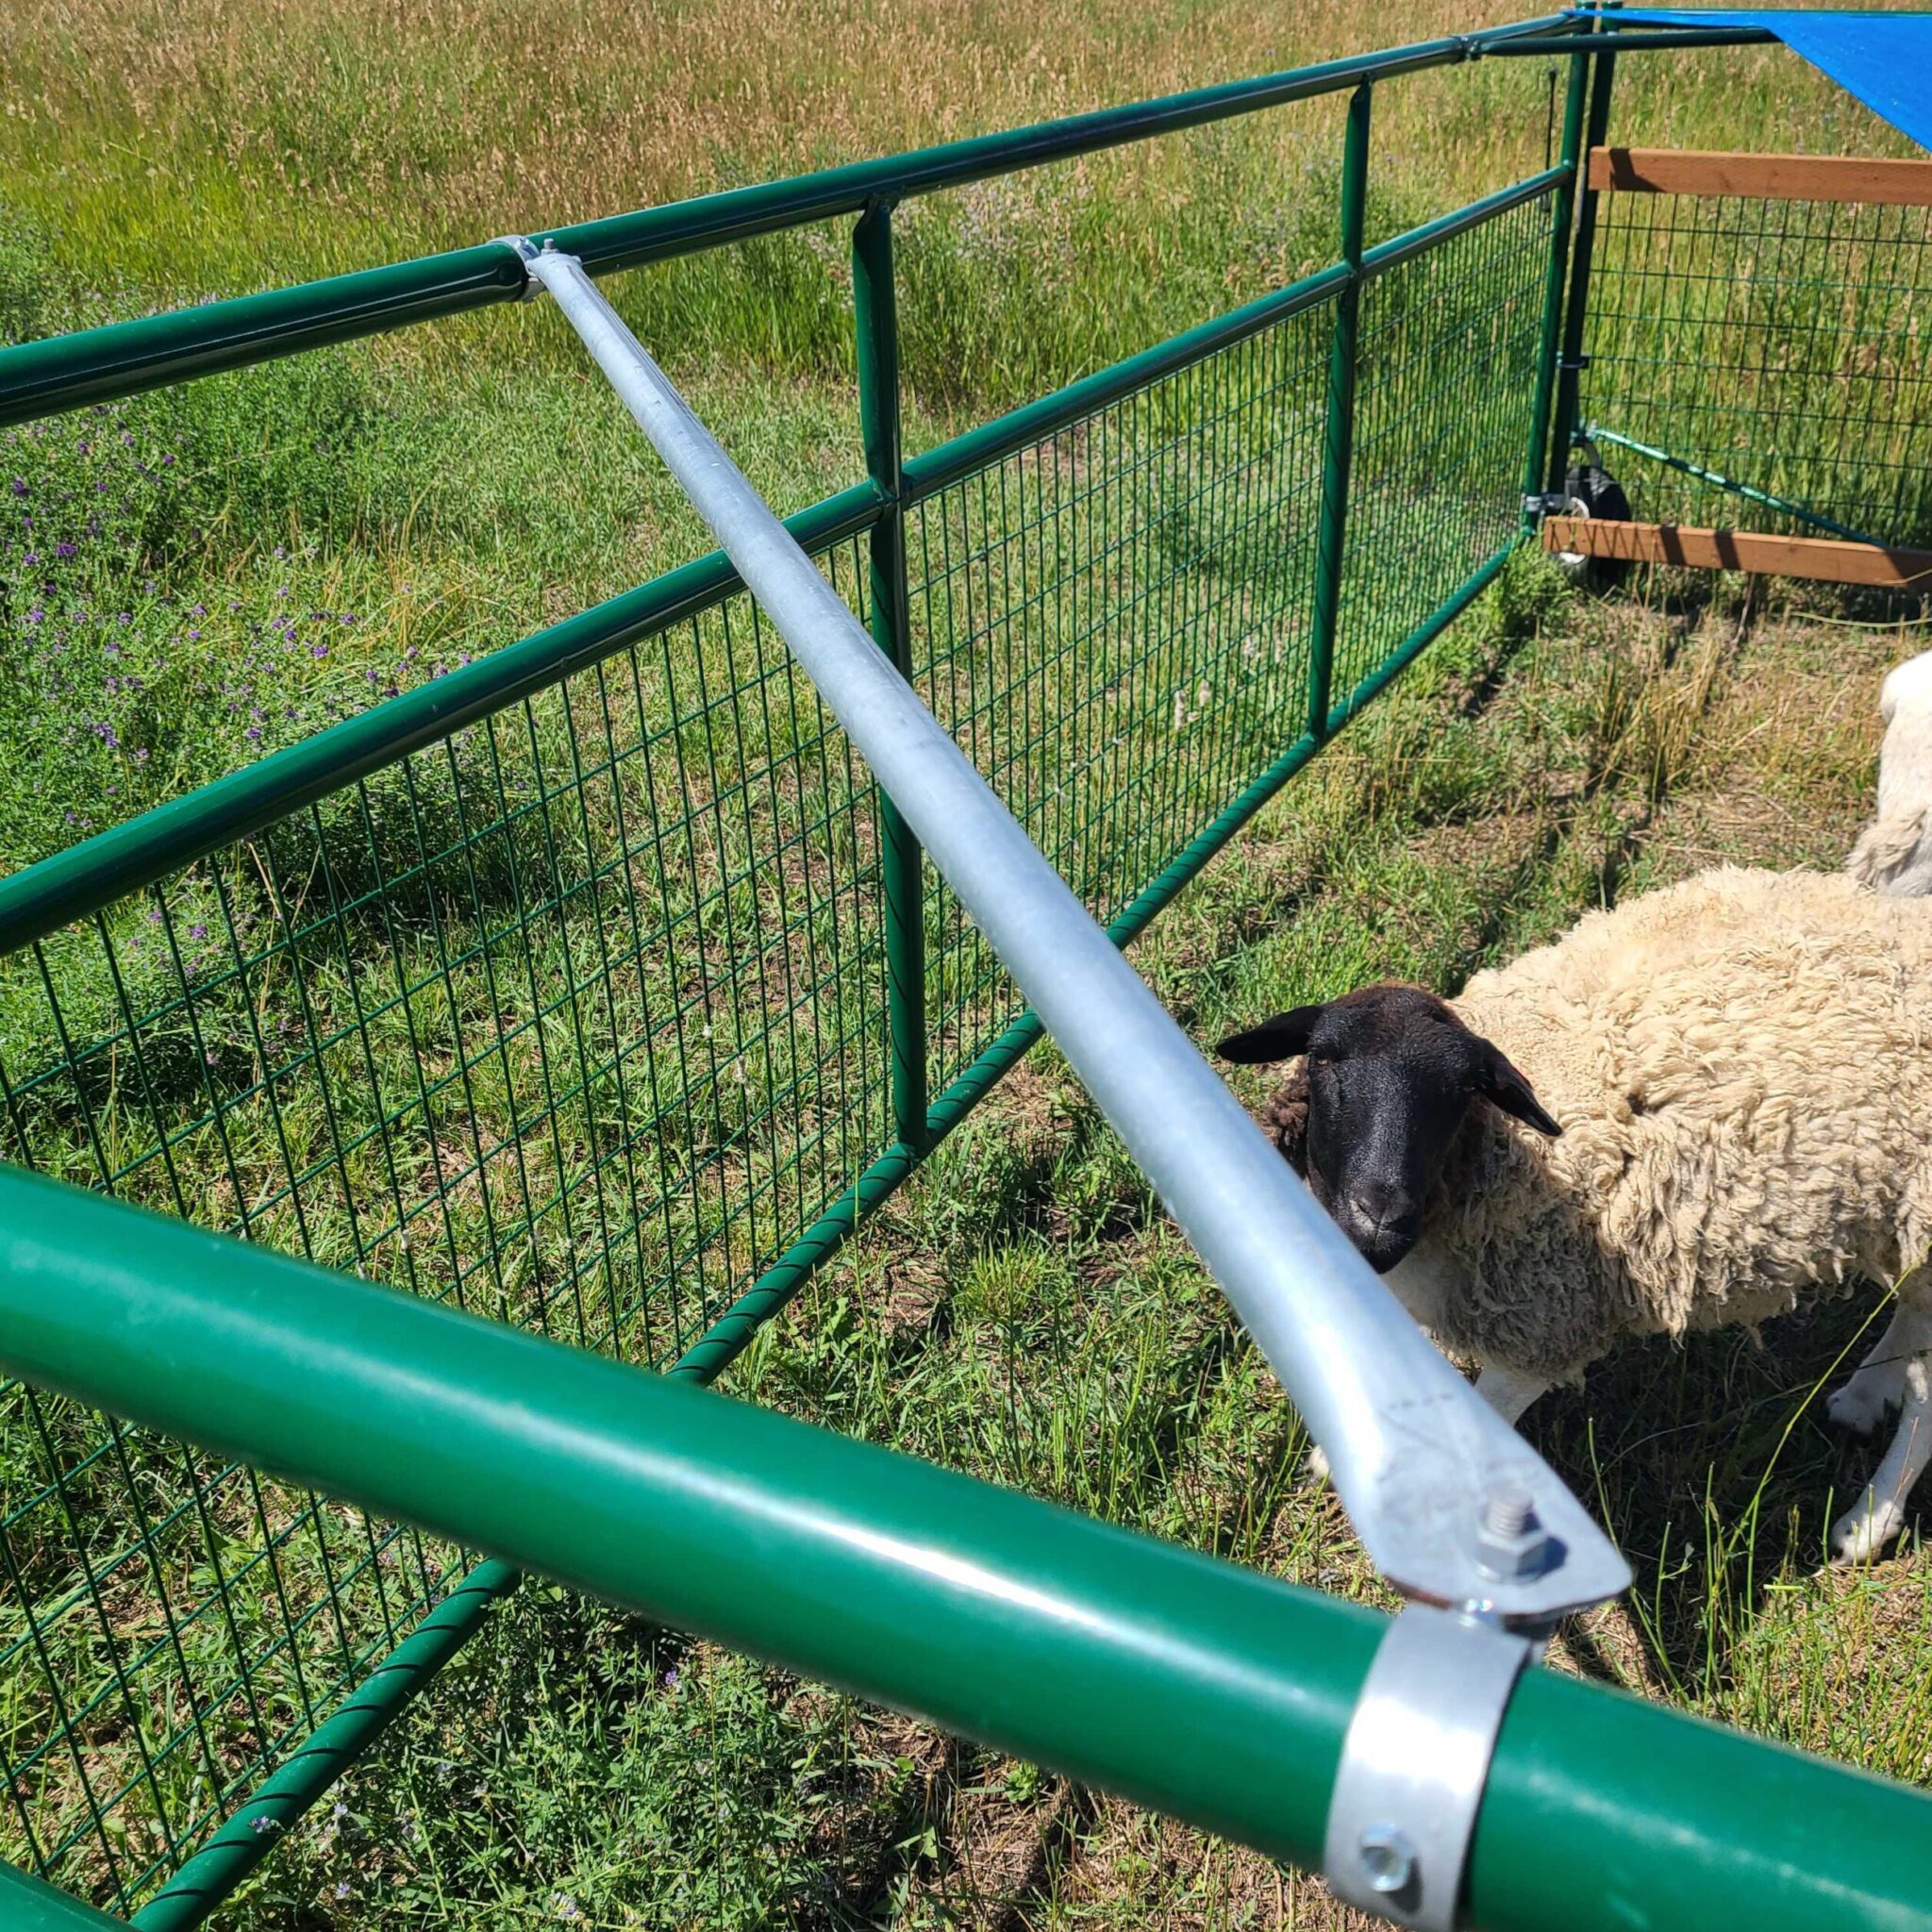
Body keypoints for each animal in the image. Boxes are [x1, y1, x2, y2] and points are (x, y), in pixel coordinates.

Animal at [1216, 865, 1932, 1564]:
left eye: (1463, 1092)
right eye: (1322, 1058)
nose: (1379, 1225)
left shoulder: (1543, 1329)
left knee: (1927, 1397)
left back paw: (1868, 1523)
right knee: (1910, 1321)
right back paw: (1865, 1397)